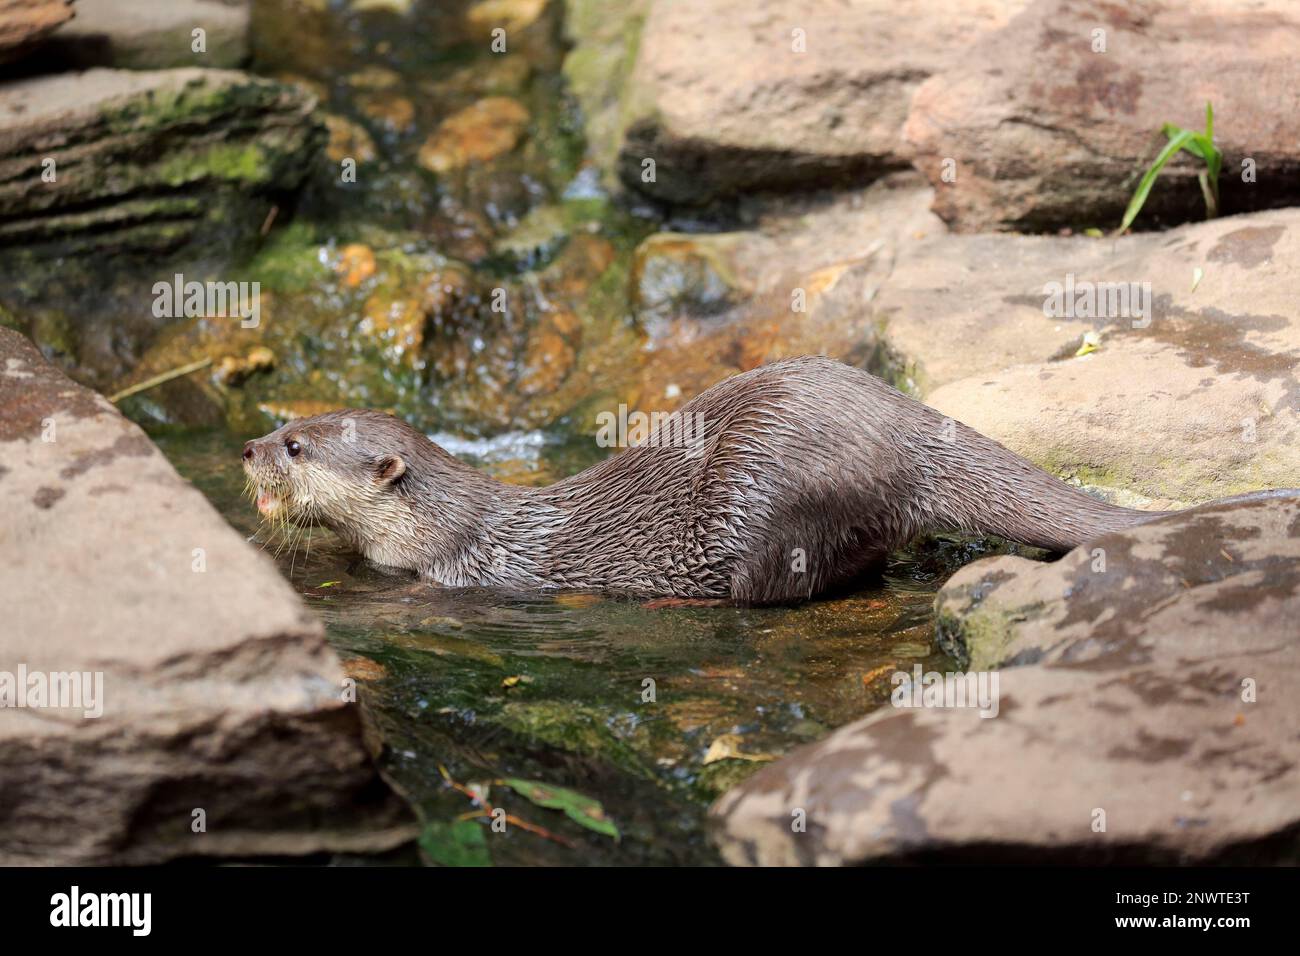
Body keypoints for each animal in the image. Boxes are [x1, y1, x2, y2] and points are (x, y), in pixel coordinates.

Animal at [242, 355, 1169, 604]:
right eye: (282, 421)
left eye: (296, 446)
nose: (246, 450)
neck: (453, 527)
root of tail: (907, 425)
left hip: (771, 488)